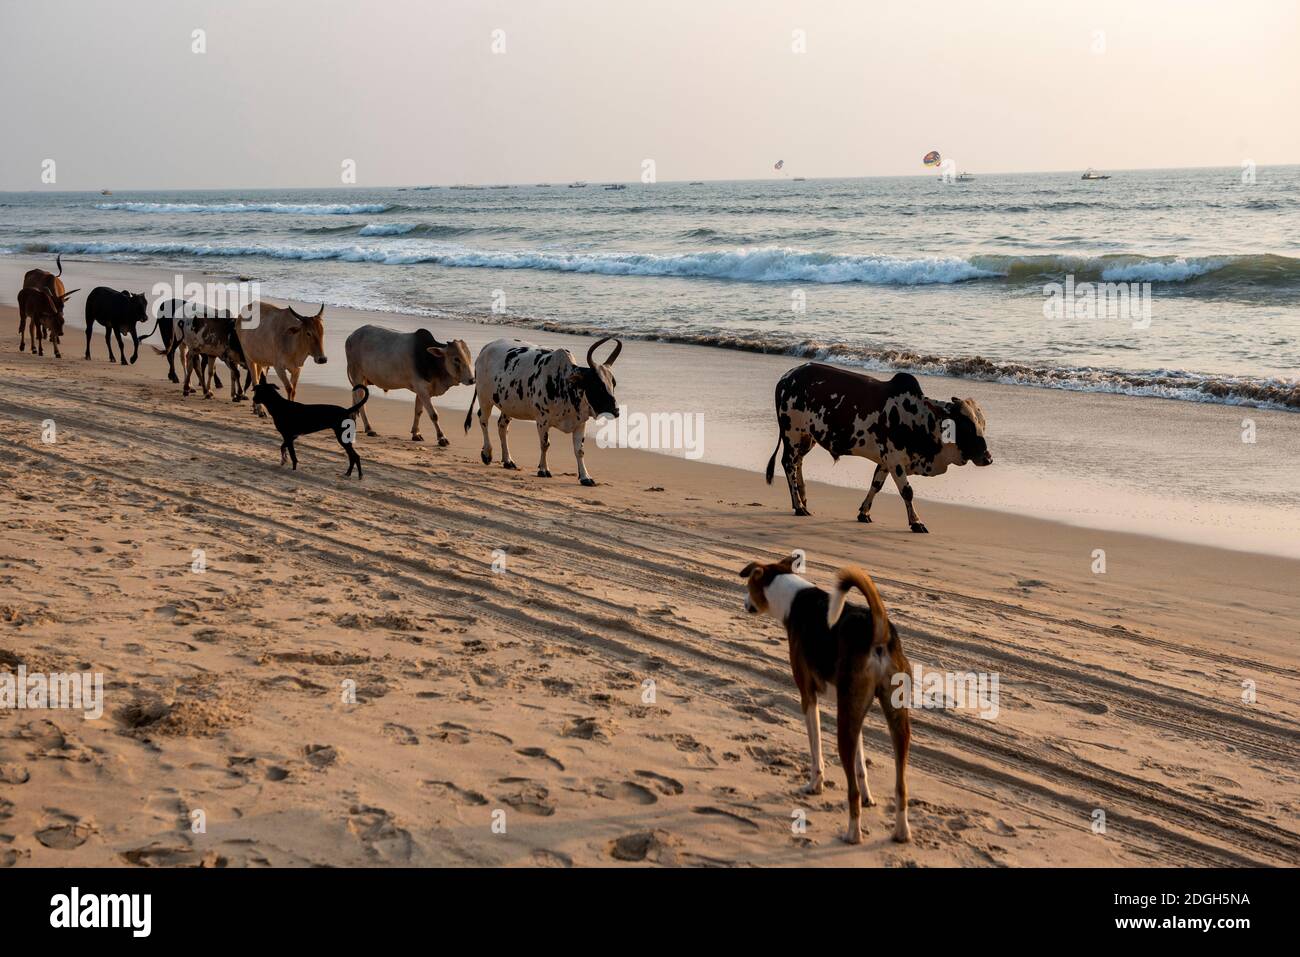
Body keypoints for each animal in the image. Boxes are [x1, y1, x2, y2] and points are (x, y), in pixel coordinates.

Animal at [344, 325, 474, 445]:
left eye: (469, 357)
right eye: (456, 359)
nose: (472, 379)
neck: (431, 360)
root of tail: (351, 336)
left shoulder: (422, 392)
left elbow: (418, 411)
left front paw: (416, 434)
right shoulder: (422, 389)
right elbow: (433, 414)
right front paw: (442, 438)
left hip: (362, 379)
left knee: (356, 397)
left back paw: (352, 419)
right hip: (357, 374)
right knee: (361, 402)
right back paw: (369, 429)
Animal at [464, 336, 621, 486]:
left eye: (613, 383)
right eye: (597, 384)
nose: (615, 410)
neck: (564, 384)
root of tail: (487, 347)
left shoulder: (580, 423)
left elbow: (579, 450)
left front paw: (585, 477)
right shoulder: (542, 421)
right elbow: (545, 444)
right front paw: (543, 470)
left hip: (507, 405)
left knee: (502, 427)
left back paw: (508, 460)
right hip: (484, 398)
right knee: (483, 421)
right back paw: (487, 454)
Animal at [766, 363, 992, 533]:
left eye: (982, 424)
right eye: (966, 426)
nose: (988, 458)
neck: (919, 418)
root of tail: (786, 377)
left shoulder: (886, 462)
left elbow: (876, 485)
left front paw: (864, 513)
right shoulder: (895, 460)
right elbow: (907, 491)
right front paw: (916, 522)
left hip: (806, 437)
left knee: (798, 463)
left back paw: (803, 500)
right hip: (792, 433)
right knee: (788, 464)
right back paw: (799, 506)